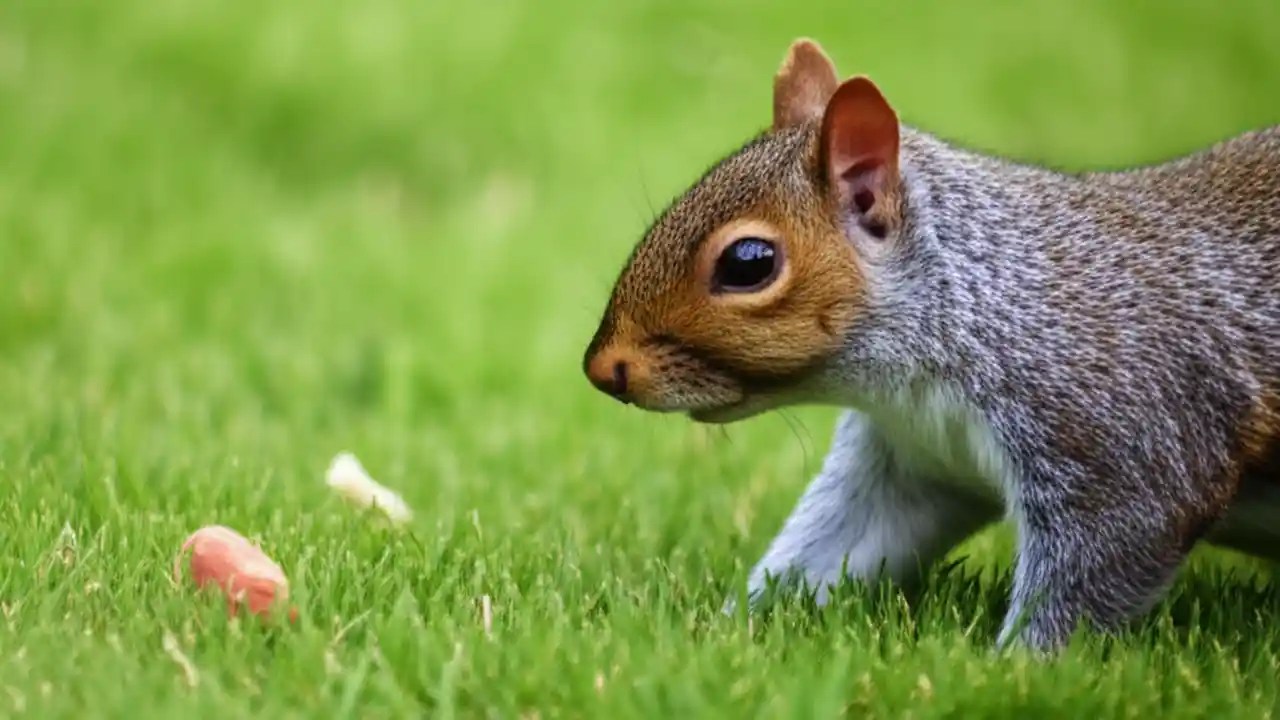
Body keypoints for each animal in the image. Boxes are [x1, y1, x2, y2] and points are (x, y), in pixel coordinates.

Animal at [582, 37, 1280, 651]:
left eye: (748, 263)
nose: (602, 370)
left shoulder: (1123, 440)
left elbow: (1102, 562)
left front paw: (1015, 668)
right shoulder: (916, 459)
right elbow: (831, 549)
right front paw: (725, 632)